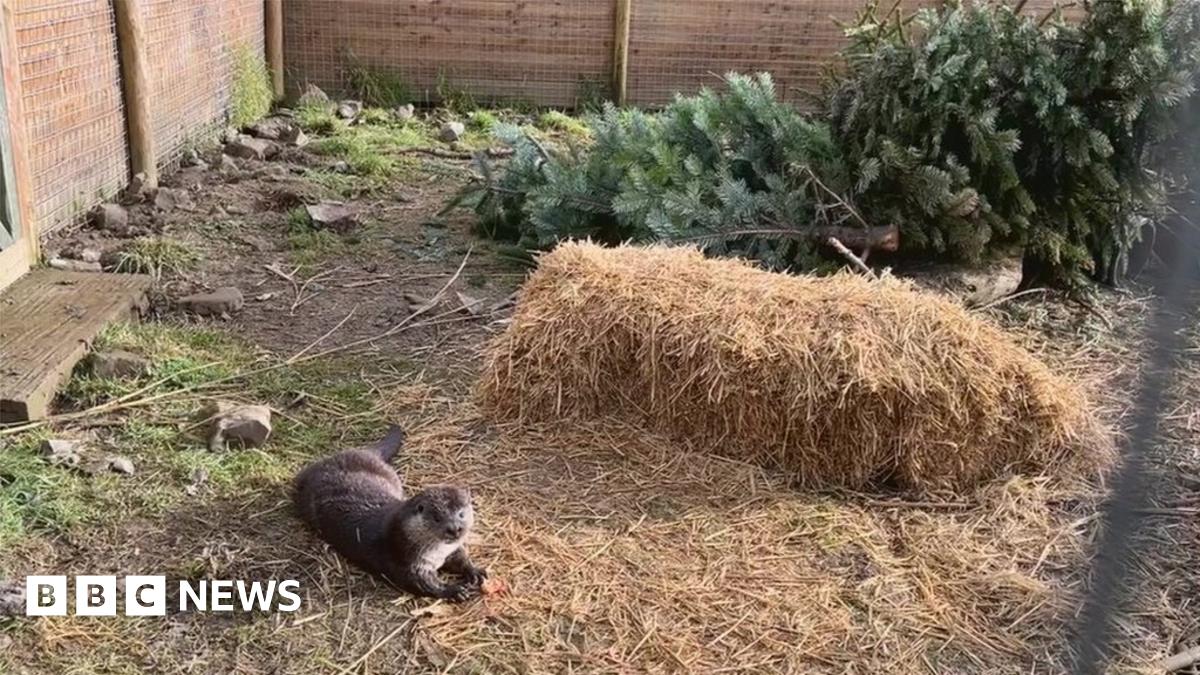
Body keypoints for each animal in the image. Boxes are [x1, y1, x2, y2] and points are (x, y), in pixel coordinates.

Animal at [293, 425, 487, 601]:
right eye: (437, 518)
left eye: (461, 514)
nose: (455, 528)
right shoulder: (406, 562)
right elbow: (423, 584)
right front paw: (453, 590)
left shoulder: (449, 550)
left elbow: (460, 556)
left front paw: (474, 570)